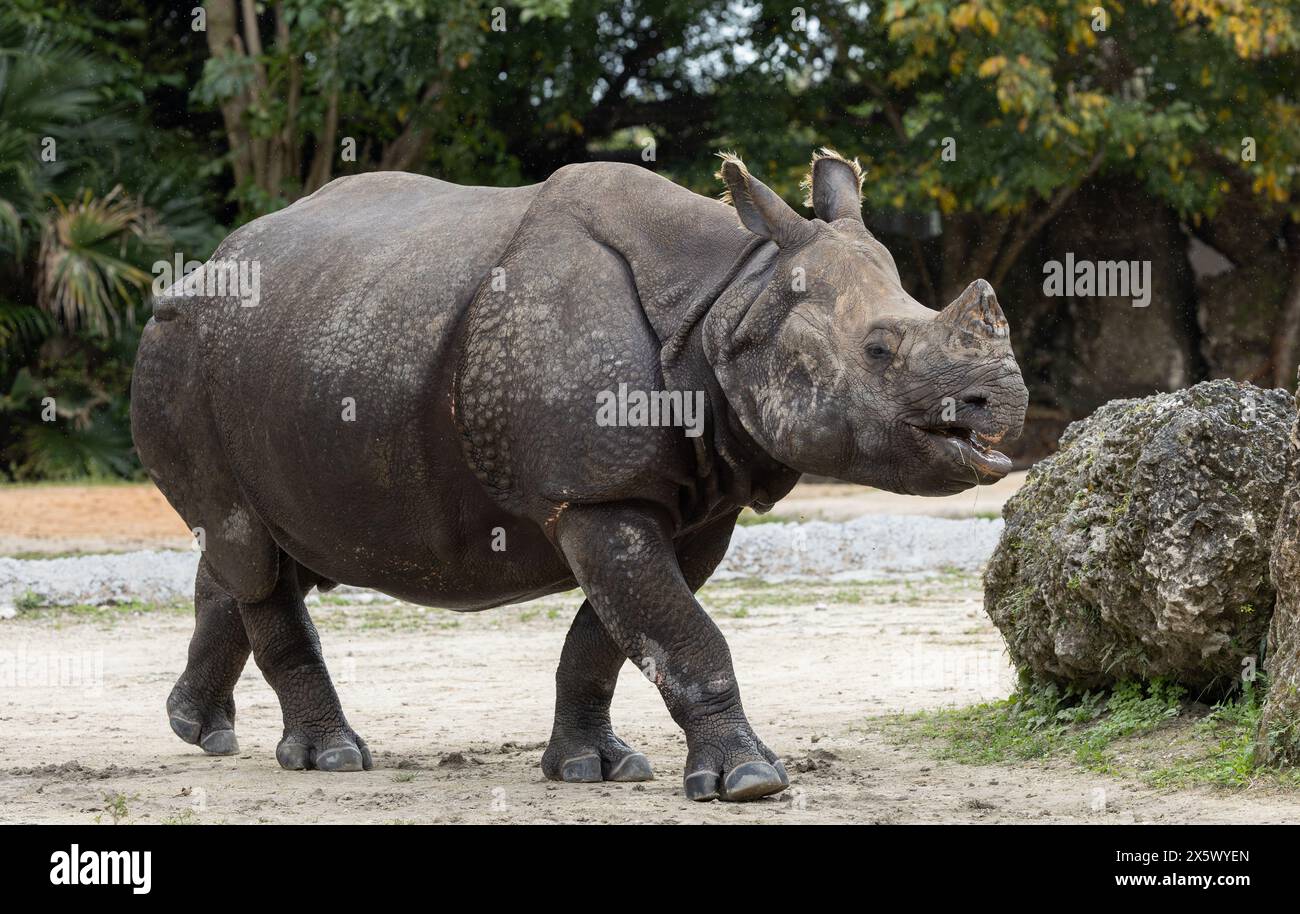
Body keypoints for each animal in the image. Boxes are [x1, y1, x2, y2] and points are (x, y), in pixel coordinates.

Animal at [131, 149, 1027, 802]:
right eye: (879, 349)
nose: (1003, 400)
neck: (732, 298)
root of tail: (200, 270)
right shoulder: (596, 493)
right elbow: (680, 633)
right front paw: (750, 782)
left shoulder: (687, 501)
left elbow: (614, 636)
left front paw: (593, 770)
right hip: (180, 350)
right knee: (251, 550)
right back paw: (333, 760)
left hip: (311, 338)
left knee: (265, 549)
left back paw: (199, 730)